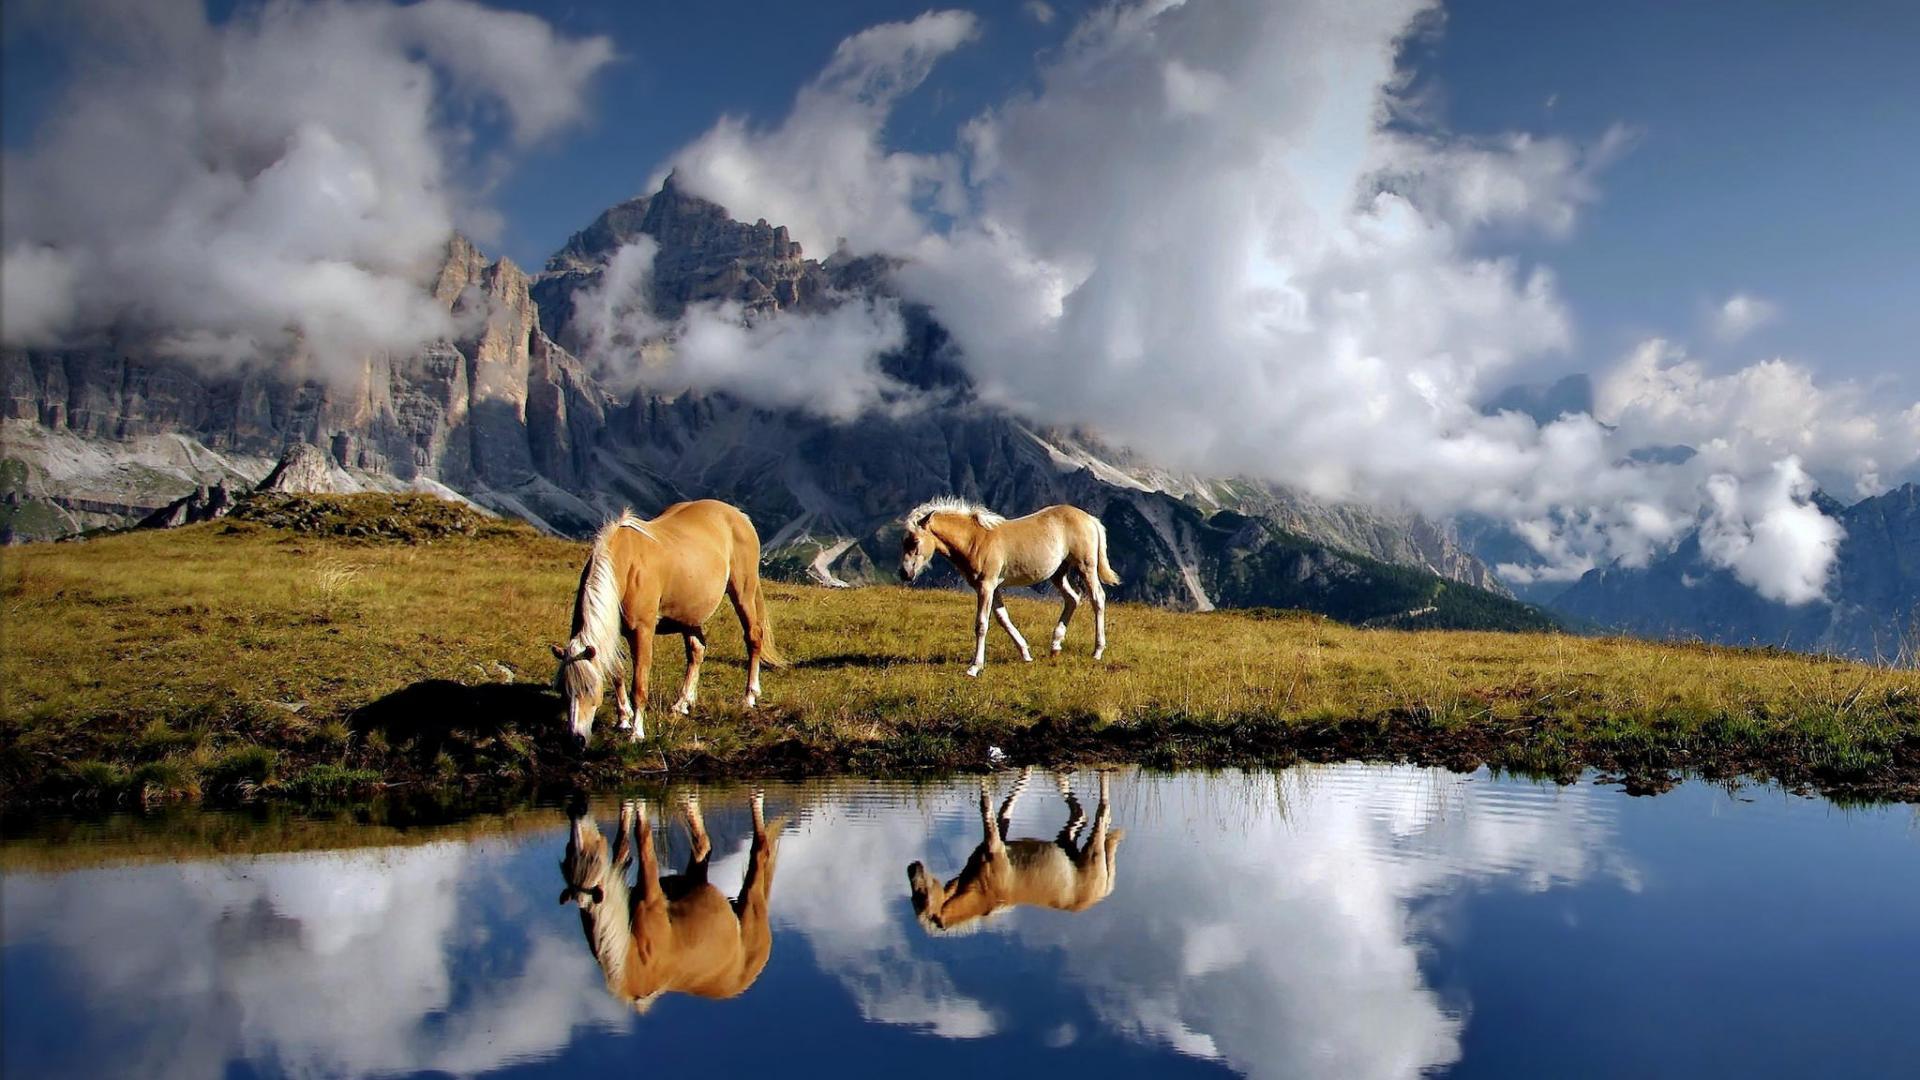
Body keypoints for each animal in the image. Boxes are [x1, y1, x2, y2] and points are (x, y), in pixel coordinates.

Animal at [552, 500, 783, 748]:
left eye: (589, 688)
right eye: (564, 690)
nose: (576, 739)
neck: (626, 566)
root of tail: (738, 515)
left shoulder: (641, 632)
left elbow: (639, 685)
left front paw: (637, 733)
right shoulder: (613, 633)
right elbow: (617, 673)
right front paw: (623, 718)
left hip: (743, 593)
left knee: (753, 637)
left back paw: (749, 696)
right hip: (689, 613)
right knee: (697, 651)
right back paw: (682, 703)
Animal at [559, 793, 781, 1012]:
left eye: (593, 856)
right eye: (568, 849)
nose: (577, 808)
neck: (630, 957)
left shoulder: (652, 895)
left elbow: (642, 836)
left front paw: (638, 804)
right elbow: (621, 845)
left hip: (751, 902)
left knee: (760, 850)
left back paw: (756, 798)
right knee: (703, 844)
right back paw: (688, 801)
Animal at [896, 497, 1119, 677]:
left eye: (915, 541)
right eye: (903, 541)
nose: (904, 573)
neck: (975, 540)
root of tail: (1090, 518)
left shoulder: (986, 585)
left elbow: (981, 624)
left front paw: (974, 667)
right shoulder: (991, 587)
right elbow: (1002, 618)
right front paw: (1025, 653)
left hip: (1086, 566)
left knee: (1097, 598)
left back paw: (1097, 651)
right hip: (1058, 573)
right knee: (1073, 598)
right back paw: (1055, 645)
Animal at [907, 768, 1124, 934]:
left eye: (922, 897)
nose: (911, 867)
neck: (980, 891)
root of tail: (1103, 891)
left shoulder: (994, 843)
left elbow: (986, 806)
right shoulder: (999, 837)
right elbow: (1007, 807)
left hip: (1094, 851)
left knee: (1102, 813)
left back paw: (1103, 774)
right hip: (1068, 842)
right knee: (1081, 815)